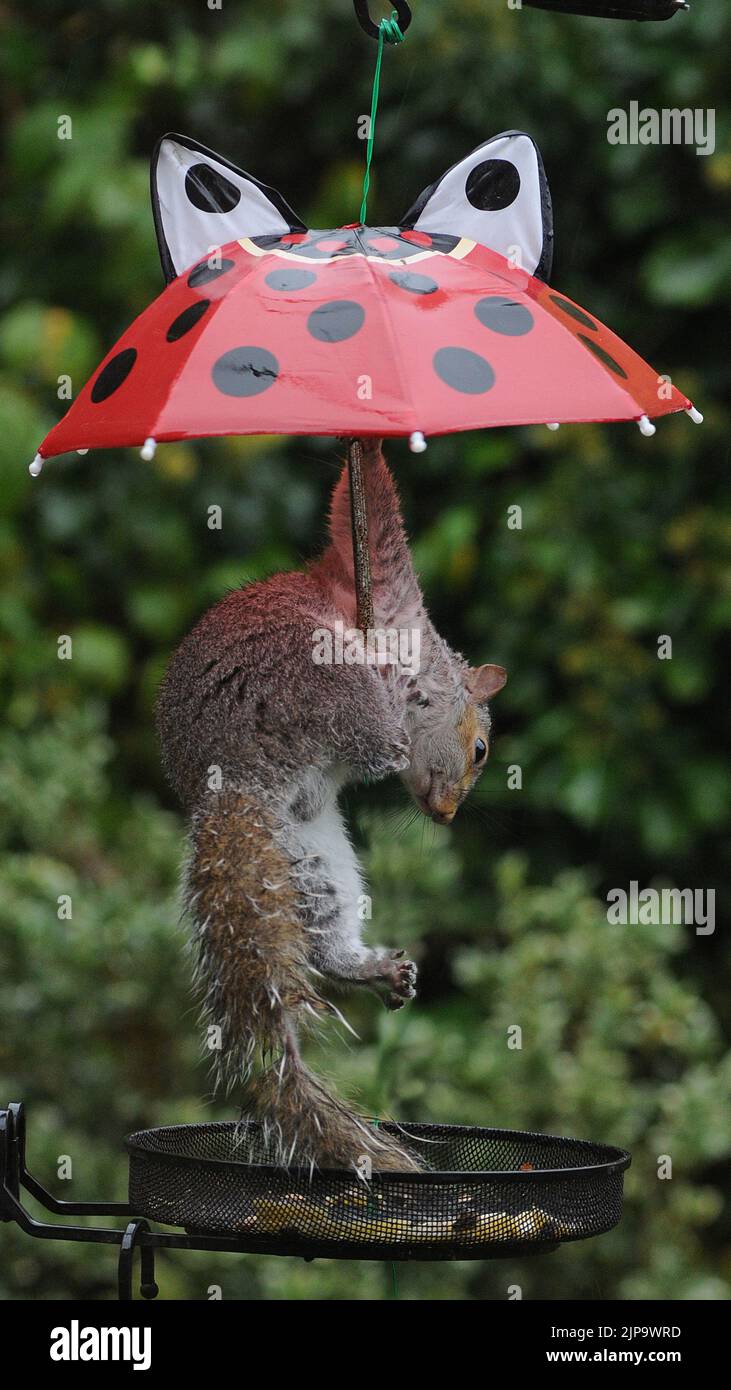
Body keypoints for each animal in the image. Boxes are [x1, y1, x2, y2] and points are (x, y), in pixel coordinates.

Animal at [156, 440, 506, 1173]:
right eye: (481, 749)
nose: (447, 816)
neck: (426, 655)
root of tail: (234, 781)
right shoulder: (388, 586)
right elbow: (373, 514)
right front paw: (369, 444)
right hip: (317, 678)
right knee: (375, 738)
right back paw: (389, 709)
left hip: (307, 853)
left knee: (321, 945)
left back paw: (368, 967)